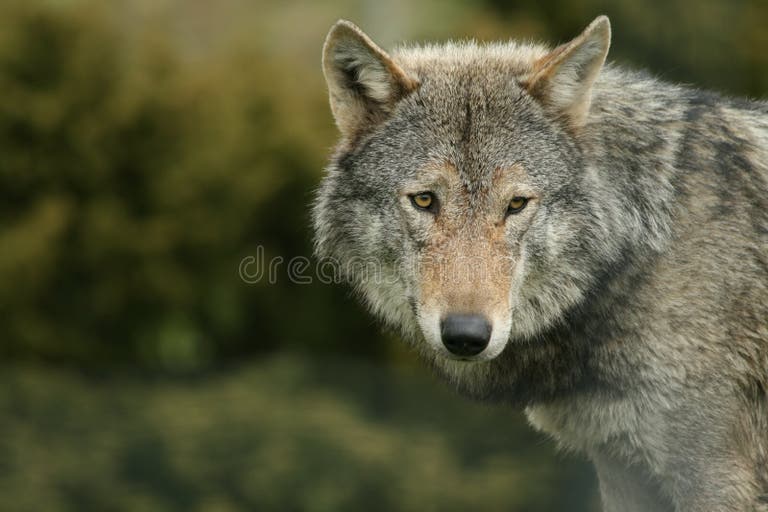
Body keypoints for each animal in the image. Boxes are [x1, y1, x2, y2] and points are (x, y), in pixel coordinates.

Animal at [312, 15, 768, 511]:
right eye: (425, 200)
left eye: (516, 204)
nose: (466, 335)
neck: (640, 248)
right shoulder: (623, 470)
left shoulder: (717, 475)